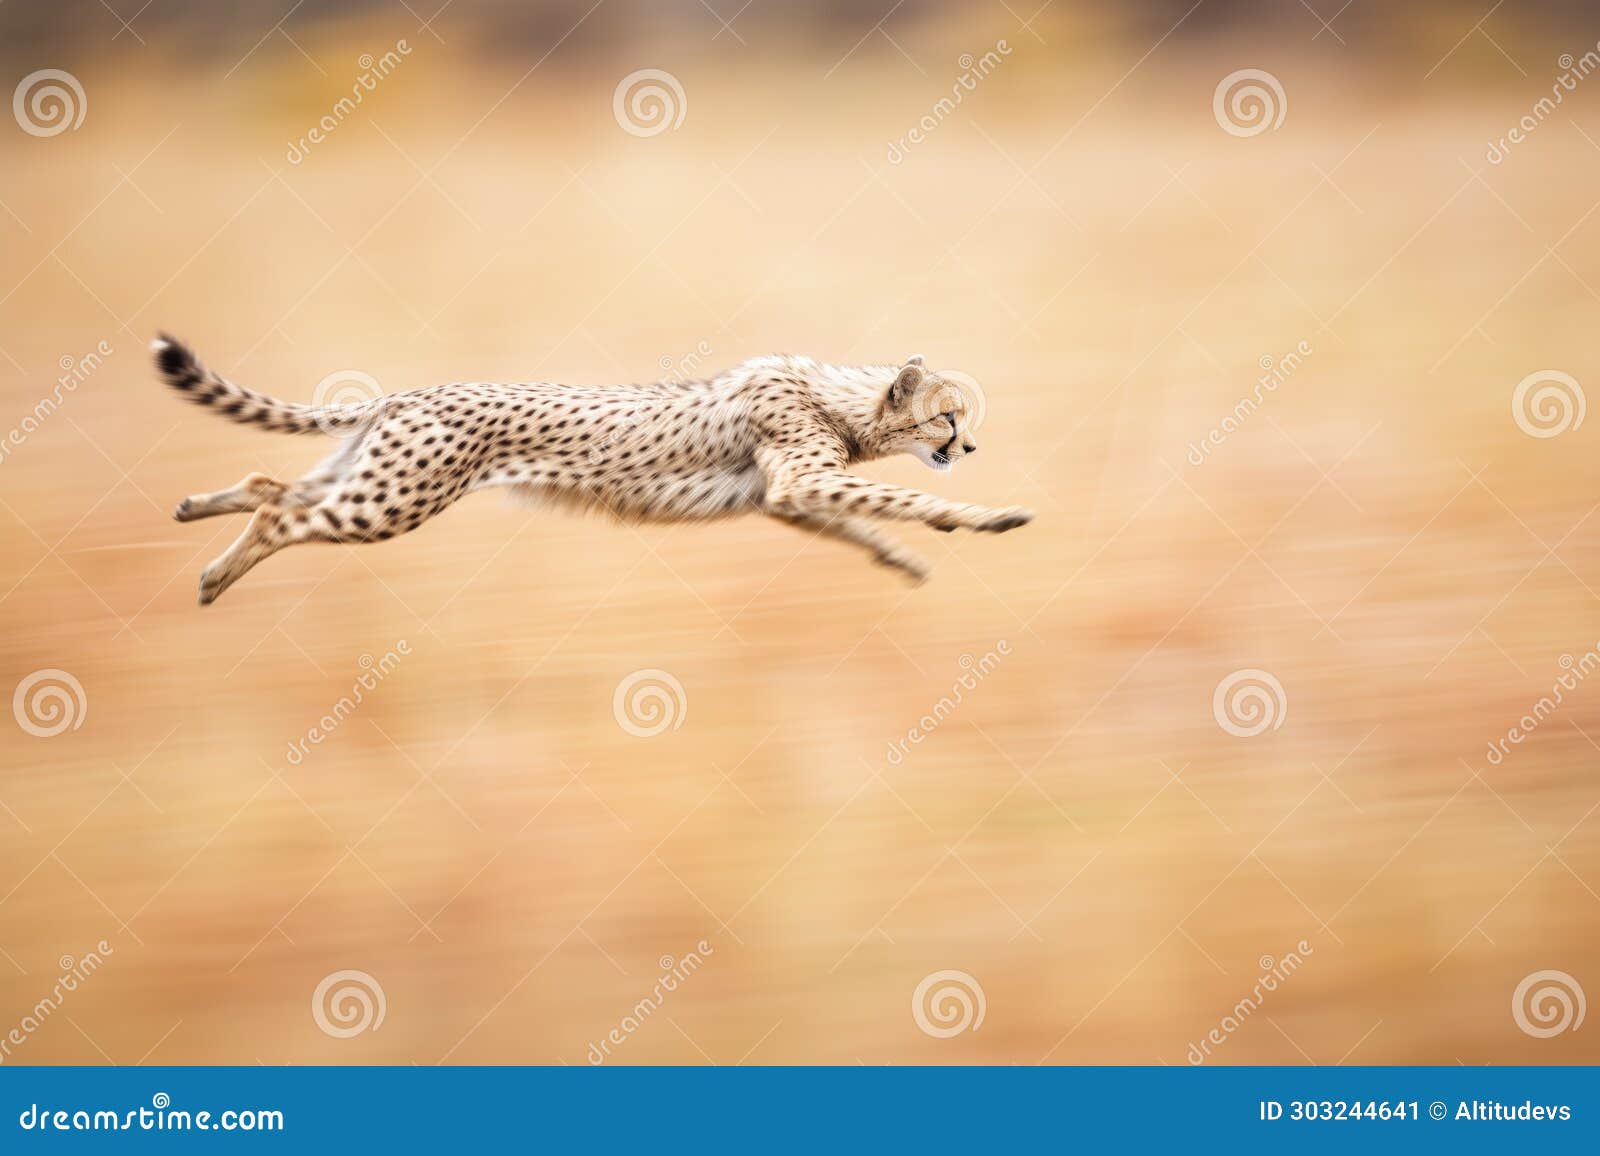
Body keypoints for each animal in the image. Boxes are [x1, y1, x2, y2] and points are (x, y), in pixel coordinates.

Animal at [151, 336, 1034, 605]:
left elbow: (862, 524)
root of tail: (408, 391)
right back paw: (212, 578)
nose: (969, 449)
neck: (837, 397)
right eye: (950, 416)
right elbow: (898, 495)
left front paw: (903, 560)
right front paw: (988, 518)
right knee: (279, 511)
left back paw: (193, 511)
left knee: (269, 487)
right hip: (392, 499)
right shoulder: (801, 480)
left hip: (374, 481)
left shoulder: (784, 497)